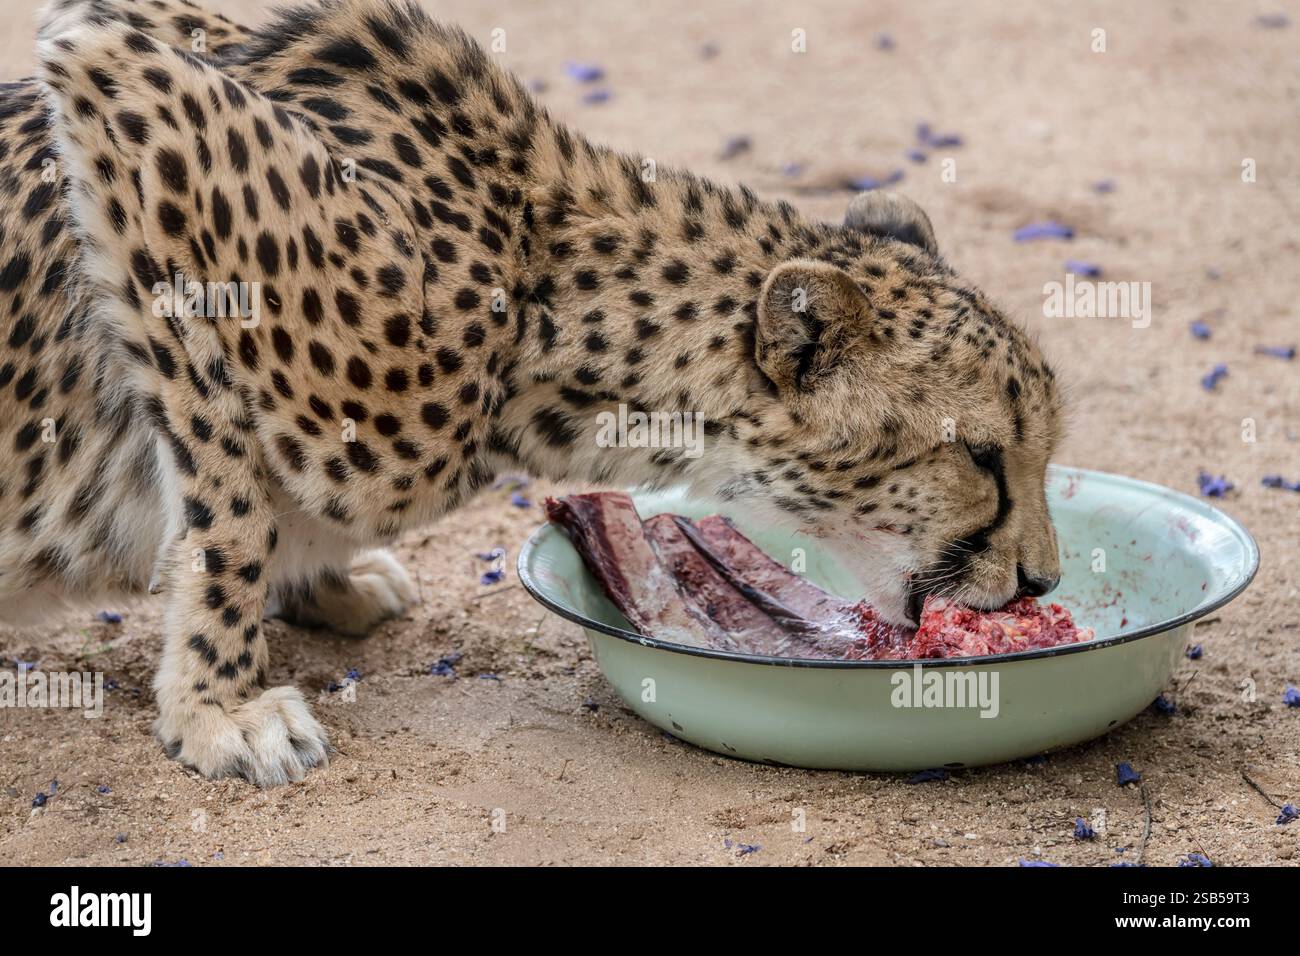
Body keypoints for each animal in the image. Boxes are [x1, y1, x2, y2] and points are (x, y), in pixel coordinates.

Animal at [0, 0, 1065, 785]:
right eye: (980, 455)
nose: (1045, 584)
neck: (539, 292)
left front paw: (319, 585)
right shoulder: (116, 83)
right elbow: (229, 502)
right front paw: (219, 707)